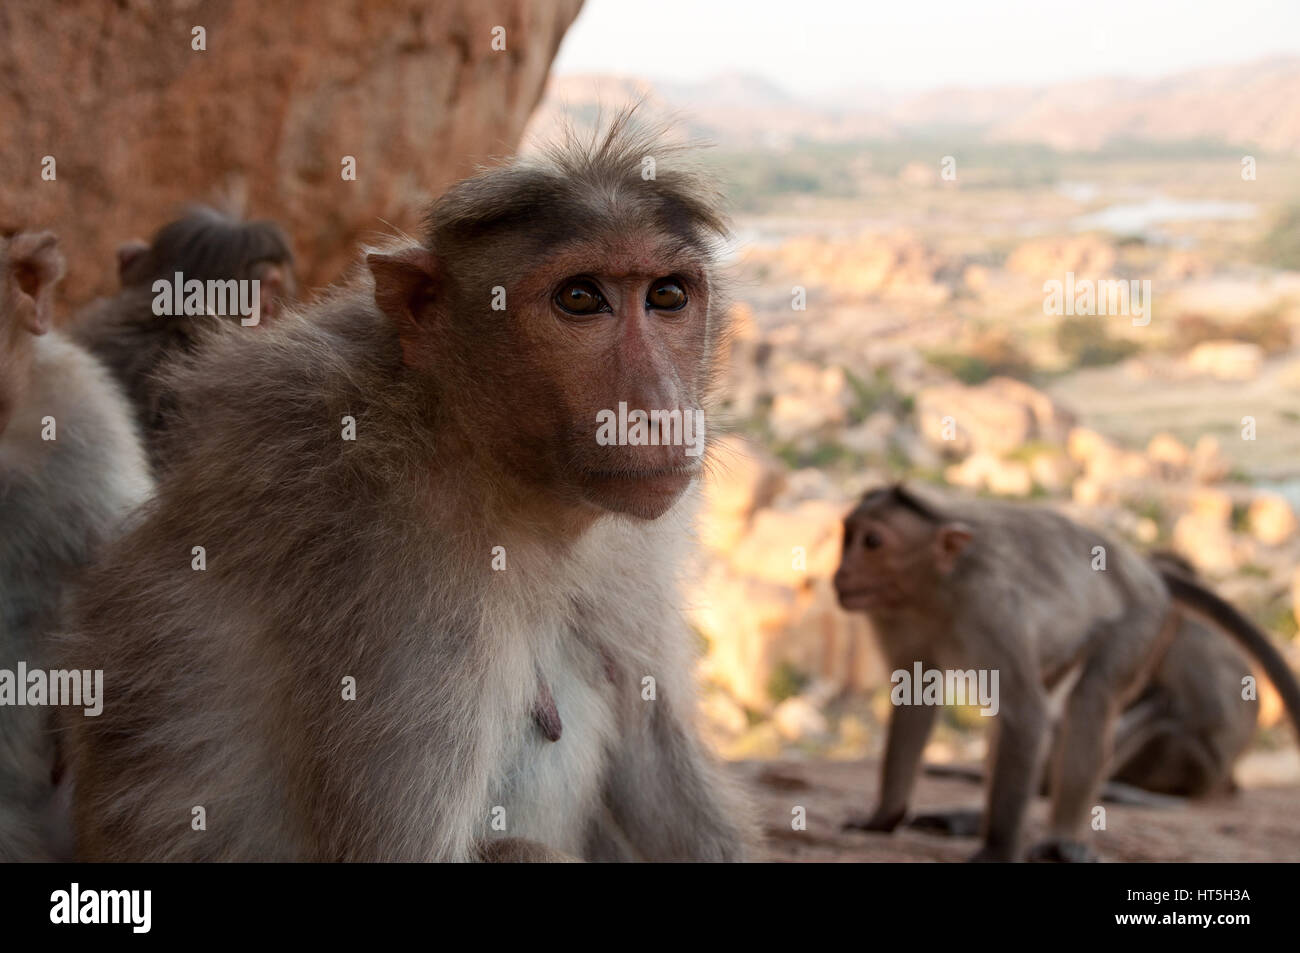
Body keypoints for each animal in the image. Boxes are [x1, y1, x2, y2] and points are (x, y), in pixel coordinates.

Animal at [833, 484, 1300, 862]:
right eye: (847, 536)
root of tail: (1144, 568)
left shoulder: (991, 605)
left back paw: (1062, 839)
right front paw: (884, 816)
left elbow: (1026, 714)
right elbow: (916, 697)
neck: (933, 589)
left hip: (1141, 618)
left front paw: (997, 850)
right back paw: (973, 817)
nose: (841, 574)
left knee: (1090, 698)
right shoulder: (888, 613)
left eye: (872, 541)